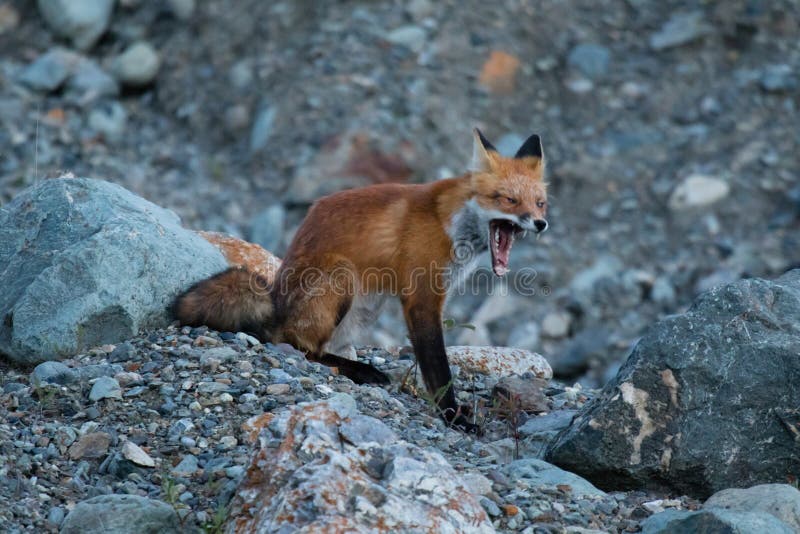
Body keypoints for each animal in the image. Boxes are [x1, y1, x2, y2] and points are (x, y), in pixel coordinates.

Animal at [174, 129, 548, 432]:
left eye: (540, 203)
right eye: (509, 199)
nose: (540, 223)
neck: (452, 224)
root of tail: (276, 304)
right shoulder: (422, 297)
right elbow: (438, 369)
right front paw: (454, 416)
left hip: (368, 305)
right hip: (342, 278)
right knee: (297, 344)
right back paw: (358, 369)